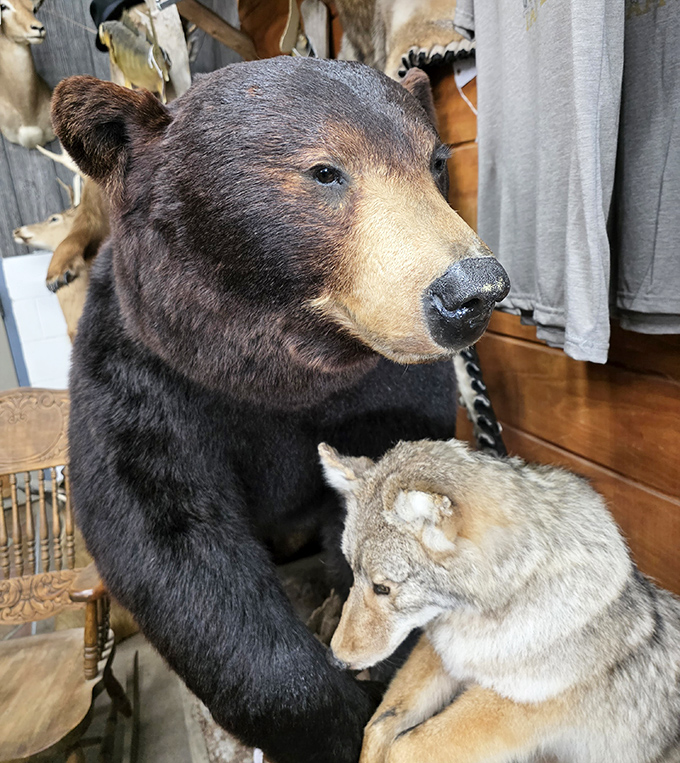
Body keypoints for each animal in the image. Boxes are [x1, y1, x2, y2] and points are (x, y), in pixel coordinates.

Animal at [50, 58, 509, 763]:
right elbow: (163, 533)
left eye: (434, 162)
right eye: (325, 171)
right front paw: (333, 719)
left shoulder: (386, 386)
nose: (472, 290)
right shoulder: (144, 370)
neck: (283, 372)